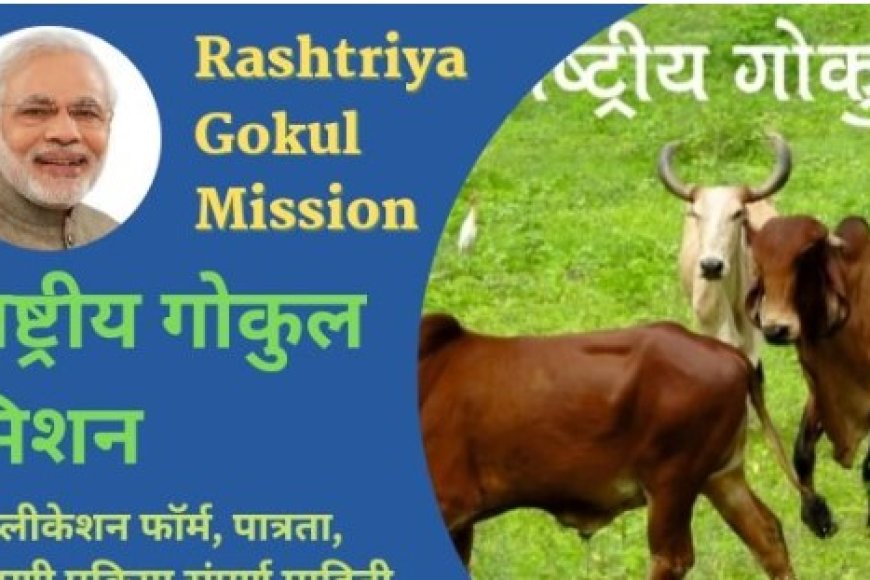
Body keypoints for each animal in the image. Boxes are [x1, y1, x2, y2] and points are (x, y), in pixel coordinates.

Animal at [419, 313, 819, 579]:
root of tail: (732, 356)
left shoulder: (452, 502)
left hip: (672, 483)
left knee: (671, 558)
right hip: (721, 477)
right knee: (767, 535)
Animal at [747, 214, 870, 538]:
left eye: (804, 256)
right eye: (758, 260)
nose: (775, 329)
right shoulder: (821, 392)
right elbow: (801, 451)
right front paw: (816, 514)